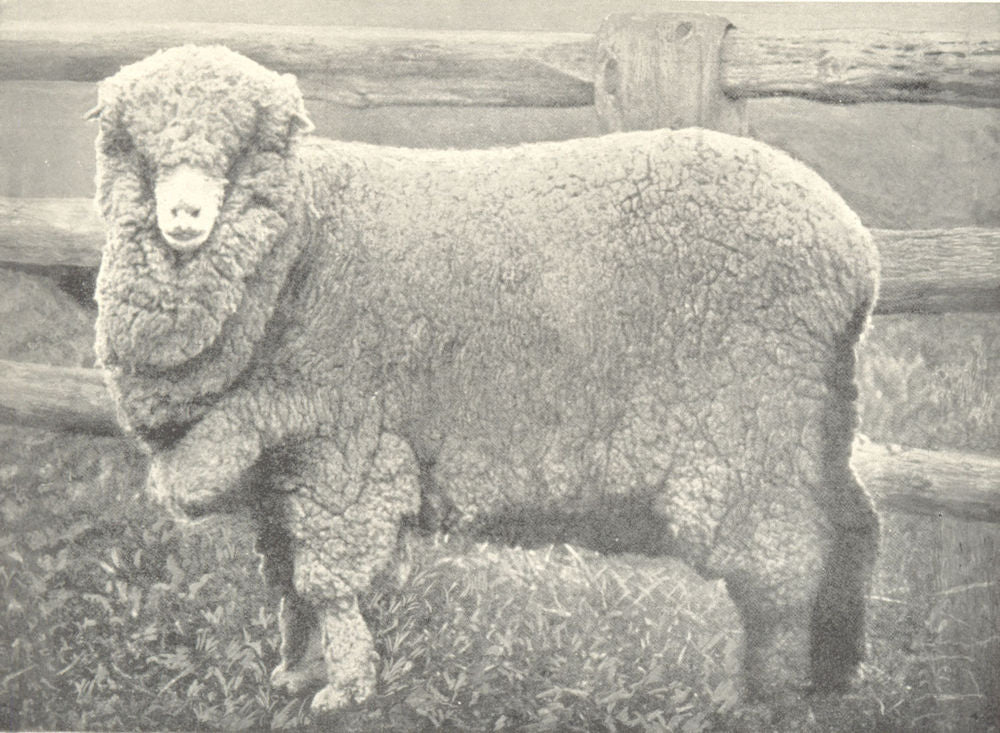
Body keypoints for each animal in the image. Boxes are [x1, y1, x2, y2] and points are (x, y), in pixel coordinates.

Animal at [89, 44, 881, 713]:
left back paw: (764, 691)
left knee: (784, 563)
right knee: (853, 527)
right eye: (139, 149)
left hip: (752, 426)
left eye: (243, 148)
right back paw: (831, 676)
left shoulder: (338, 444)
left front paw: (344, 688)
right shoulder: (281, 455)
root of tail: (855, 246)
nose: (184, 215)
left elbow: (326, 583)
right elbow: (287, 578)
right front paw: (296, 670)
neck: (303, 235)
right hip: (812, 417)